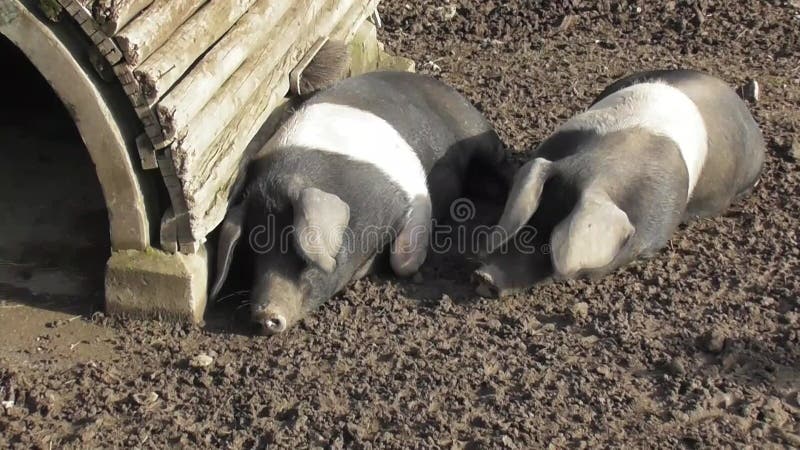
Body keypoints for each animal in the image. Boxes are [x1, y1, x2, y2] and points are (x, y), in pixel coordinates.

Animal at [210, 70, 514, 334]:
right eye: (254, 252)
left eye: (299, 254)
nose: (265, 315)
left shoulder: (414, 190)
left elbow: (403, 261)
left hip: (478, 135)